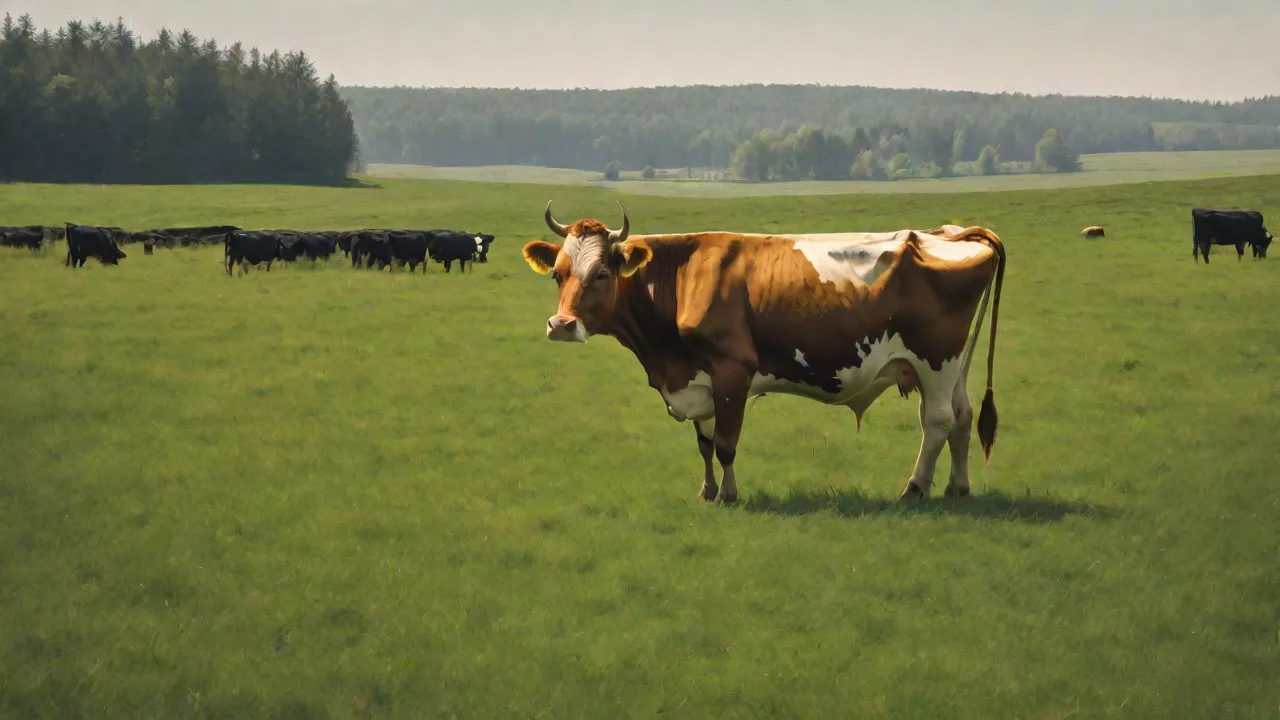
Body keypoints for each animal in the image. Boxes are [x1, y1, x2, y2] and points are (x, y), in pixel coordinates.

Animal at [521, 202, 1005, 505]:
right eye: (558, 274)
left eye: (602, 273)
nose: (561, 326)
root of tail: (953, 233)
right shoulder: (698, 379)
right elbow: (704, 443)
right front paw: (707, 492)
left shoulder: (732, 371)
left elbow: (726, 445)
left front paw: (730, 495)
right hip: (953, 364)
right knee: (962, 416)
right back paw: (957, 487)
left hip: (936, 359)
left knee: (937, 421)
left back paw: (915, 489)